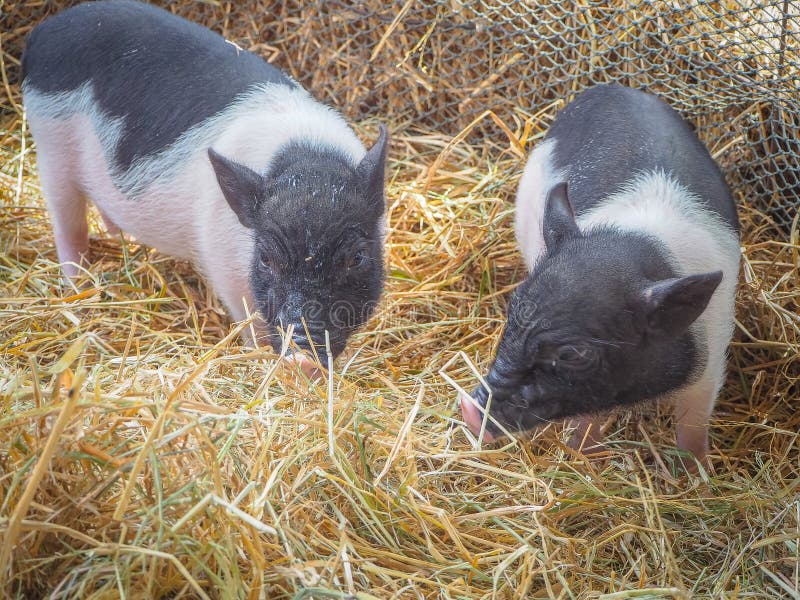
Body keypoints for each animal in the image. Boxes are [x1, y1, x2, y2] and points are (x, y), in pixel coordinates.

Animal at [21, 1, 388, 375]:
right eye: (266, 258)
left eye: (357, 257)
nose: (304, 354)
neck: (307, 163)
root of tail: (43, 31)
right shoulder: (222, 264)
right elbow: (249, 323)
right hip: (49, 145)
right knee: (67, 223)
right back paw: (77, 286)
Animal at [460, 84, 740, 469]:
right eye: (511, 309)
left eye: (573, 355)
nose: (468, 409)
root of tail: (611, 87)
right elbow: (586, 419)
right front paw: (585, 457)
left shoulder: (711, 358)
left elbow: (694, 421)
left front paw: (697, 472)